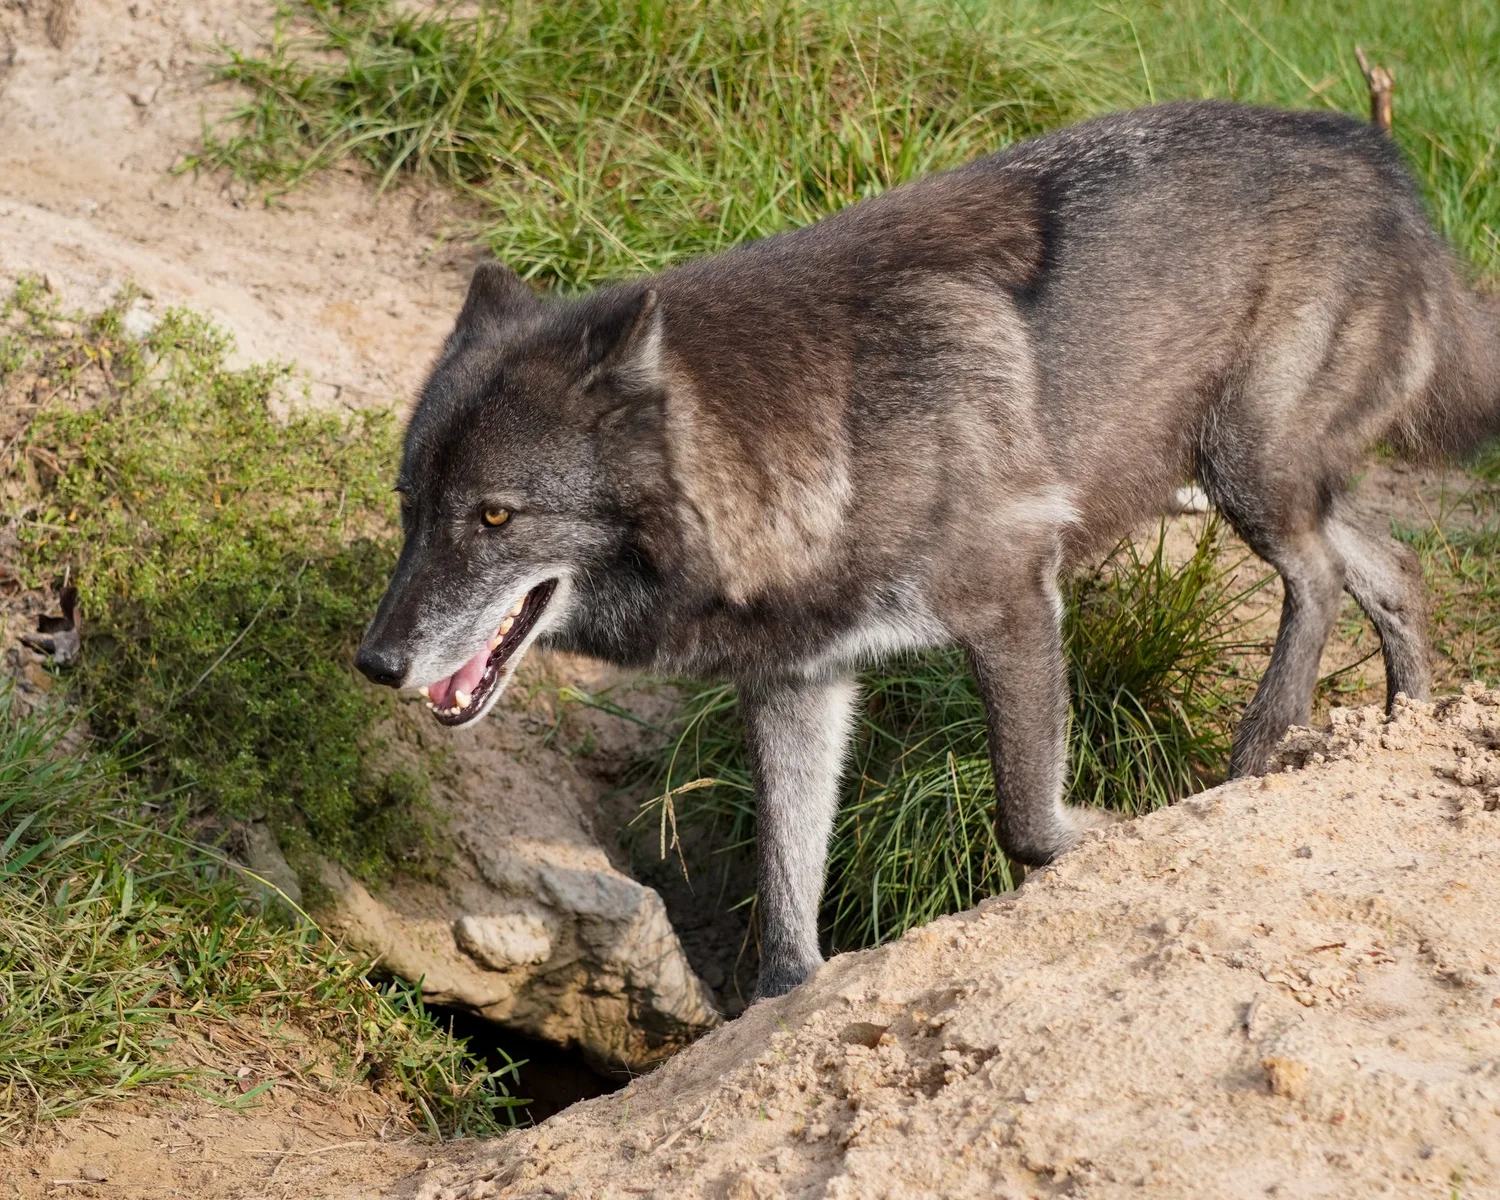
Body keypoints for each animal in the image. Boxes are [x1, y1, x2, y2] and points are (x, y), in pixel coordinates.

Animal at [357, 101, 1500, 1000]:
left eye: (494, 518)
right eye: (411, 507)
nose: (375, 663)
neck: (834, 437)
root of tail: (1378, 153)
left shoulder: (1016, 603)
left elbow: (1027, 820)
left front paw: (1108, 835)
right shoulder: (798, 683)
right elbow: (785, 889)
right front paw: (789, 997)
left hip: (1243, 467)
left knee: (1321, 577)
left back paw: (1261, 749)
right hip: (1254, 480)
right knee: (1395, 571)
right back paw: (1403, 730)